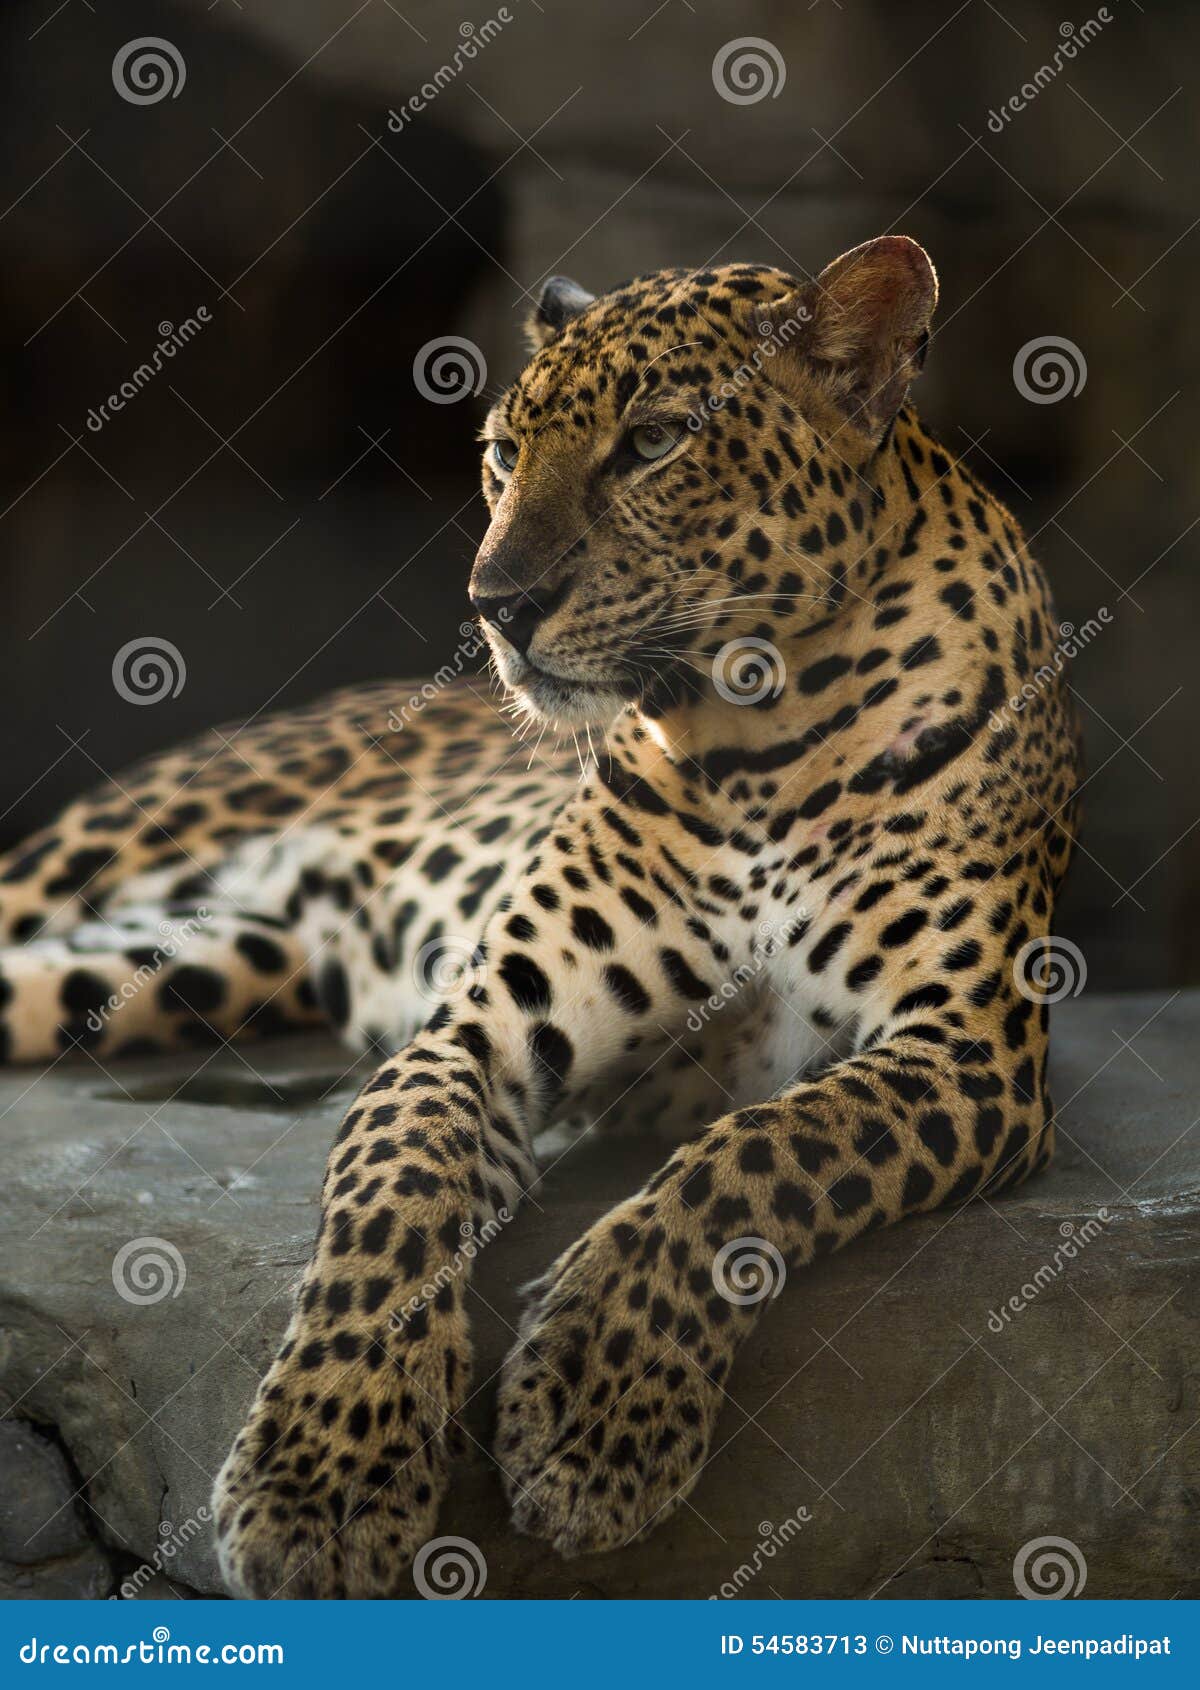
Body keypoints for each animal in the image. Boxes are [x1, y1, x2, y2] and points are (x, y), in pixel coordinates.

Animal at [0, 236, 1083, 1598]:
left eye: (658, 439)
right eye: (504, 455)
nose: (498, 602)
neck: (759, 731)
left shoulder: (969, 1050)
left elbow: (754, 1155)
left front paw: (598, 1404)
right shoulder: (479, 1029)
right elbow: (391, 1195)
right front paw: (321, 1475)